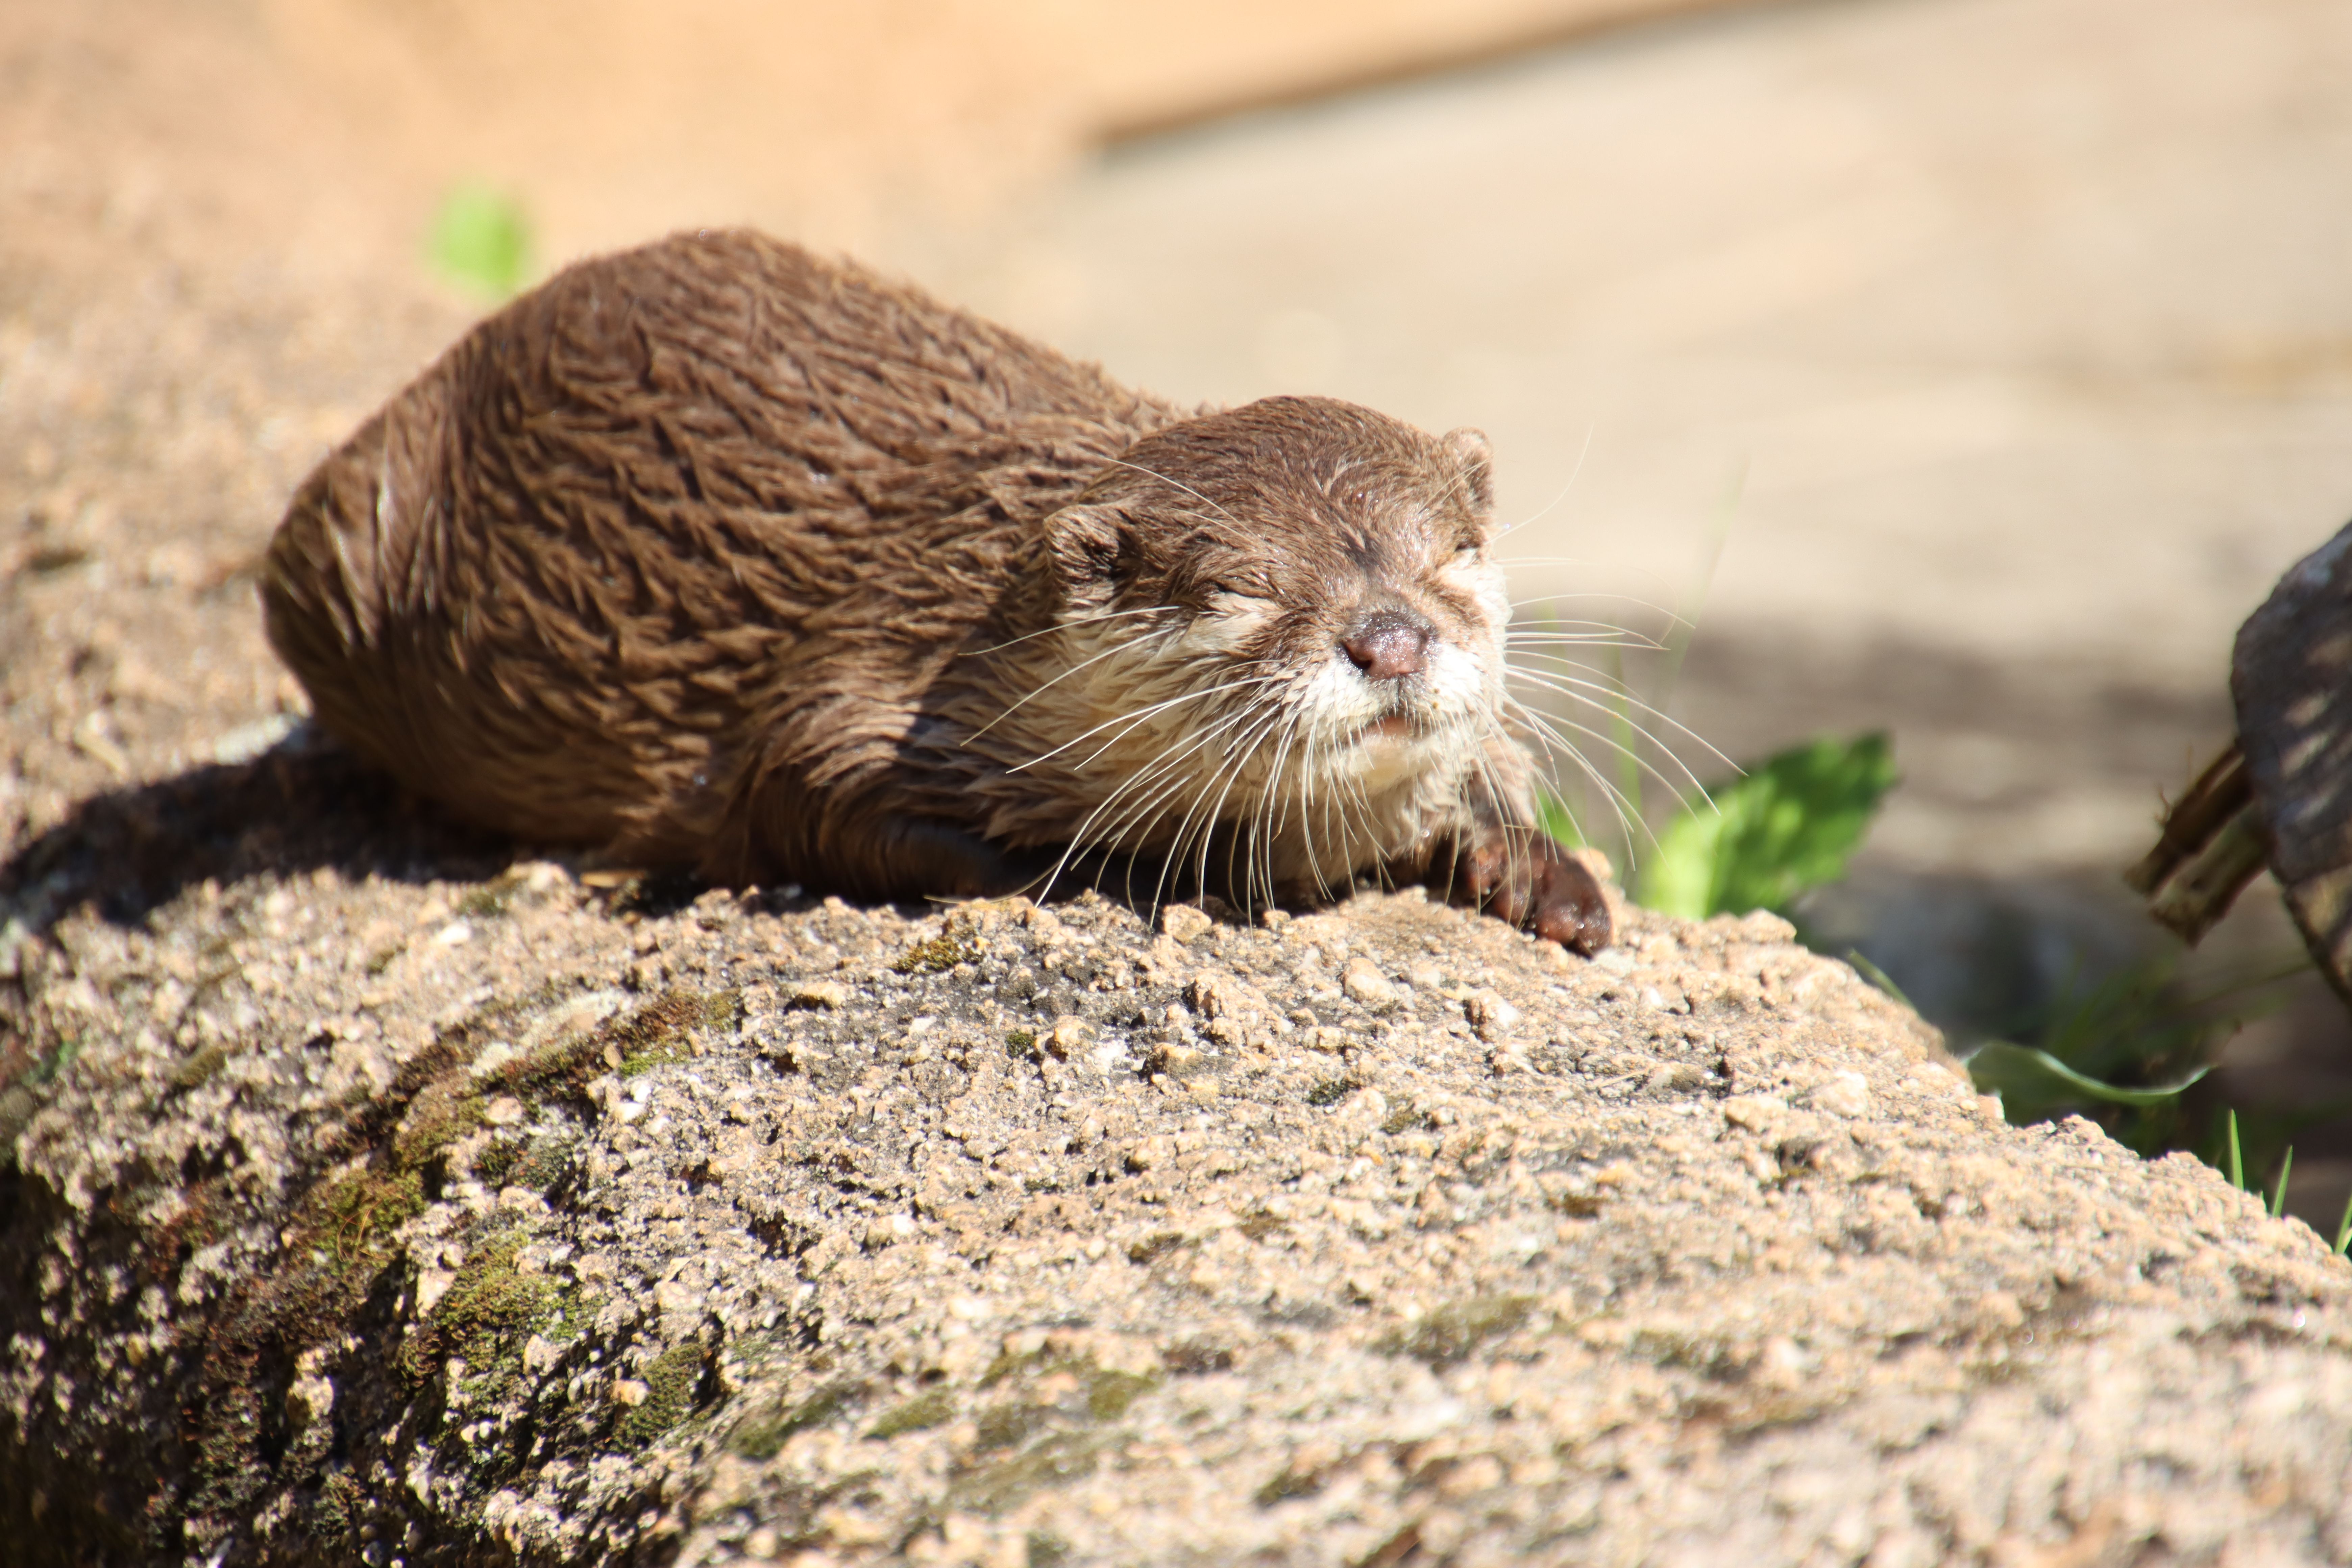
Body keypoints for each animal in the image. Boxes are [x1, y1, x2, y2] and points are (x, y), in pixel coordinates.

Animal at [263, 229, 1610, 953]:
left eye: (1448, 554)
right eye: (1240, 588)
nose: (1388, 637)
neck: (964, 614)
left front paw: (1535, 868)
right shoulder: (854, 688)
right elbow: (809, 793)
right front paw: (1157, 869)